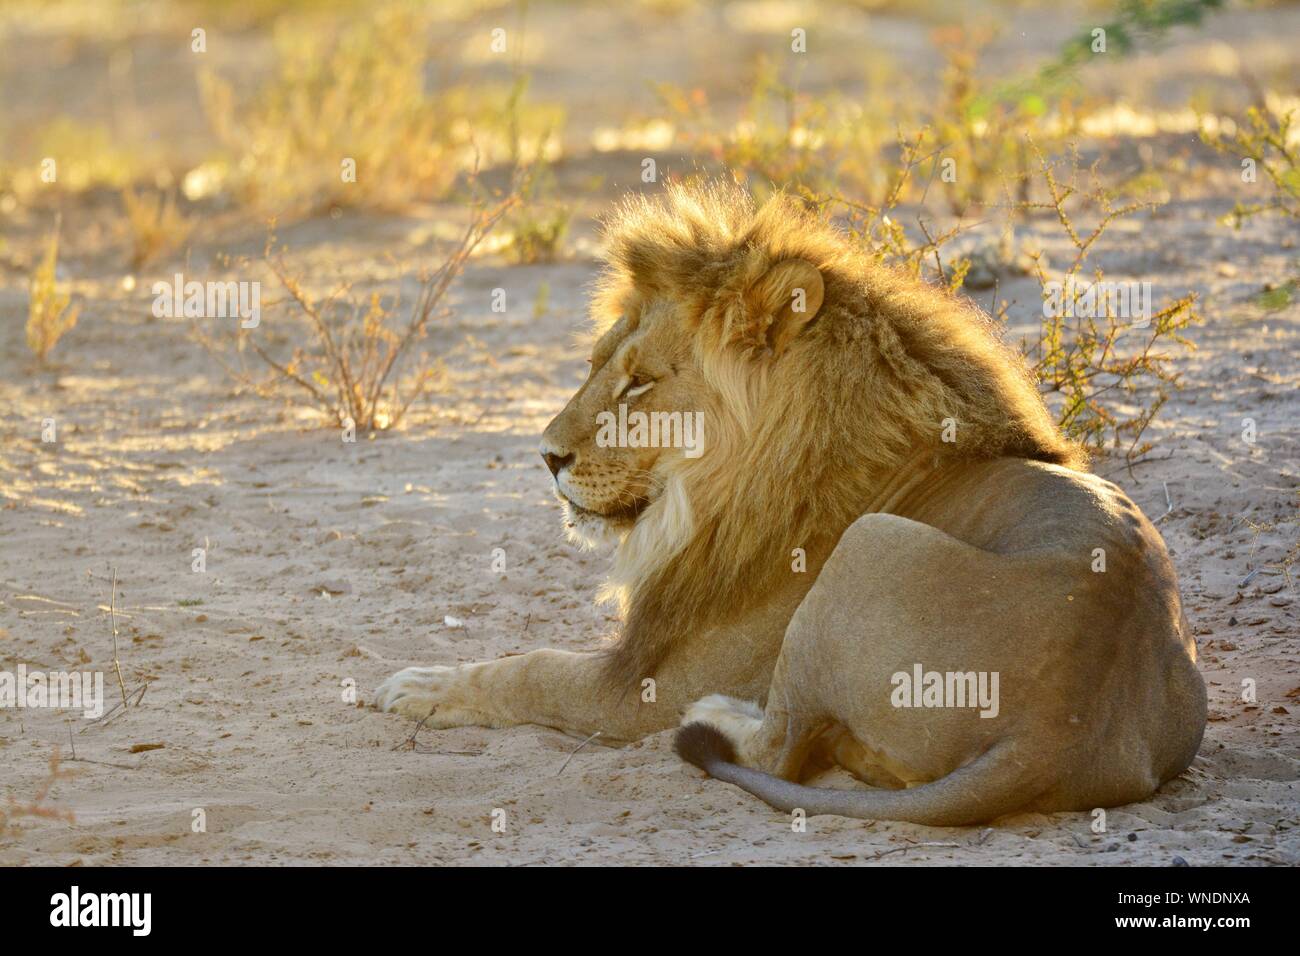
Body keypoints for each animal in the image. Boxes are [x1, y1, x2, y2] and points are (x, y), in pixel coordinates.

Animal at [376, 179, 1206, 825]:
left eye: (640, 382)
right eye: (593, 364)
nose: (546, 455)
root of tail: (1054, 728)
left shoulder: (638, 690)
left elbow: (531, 668)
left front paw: (418, 684)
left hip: (869, 546)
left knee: (778, 748)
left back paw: (718, 717)